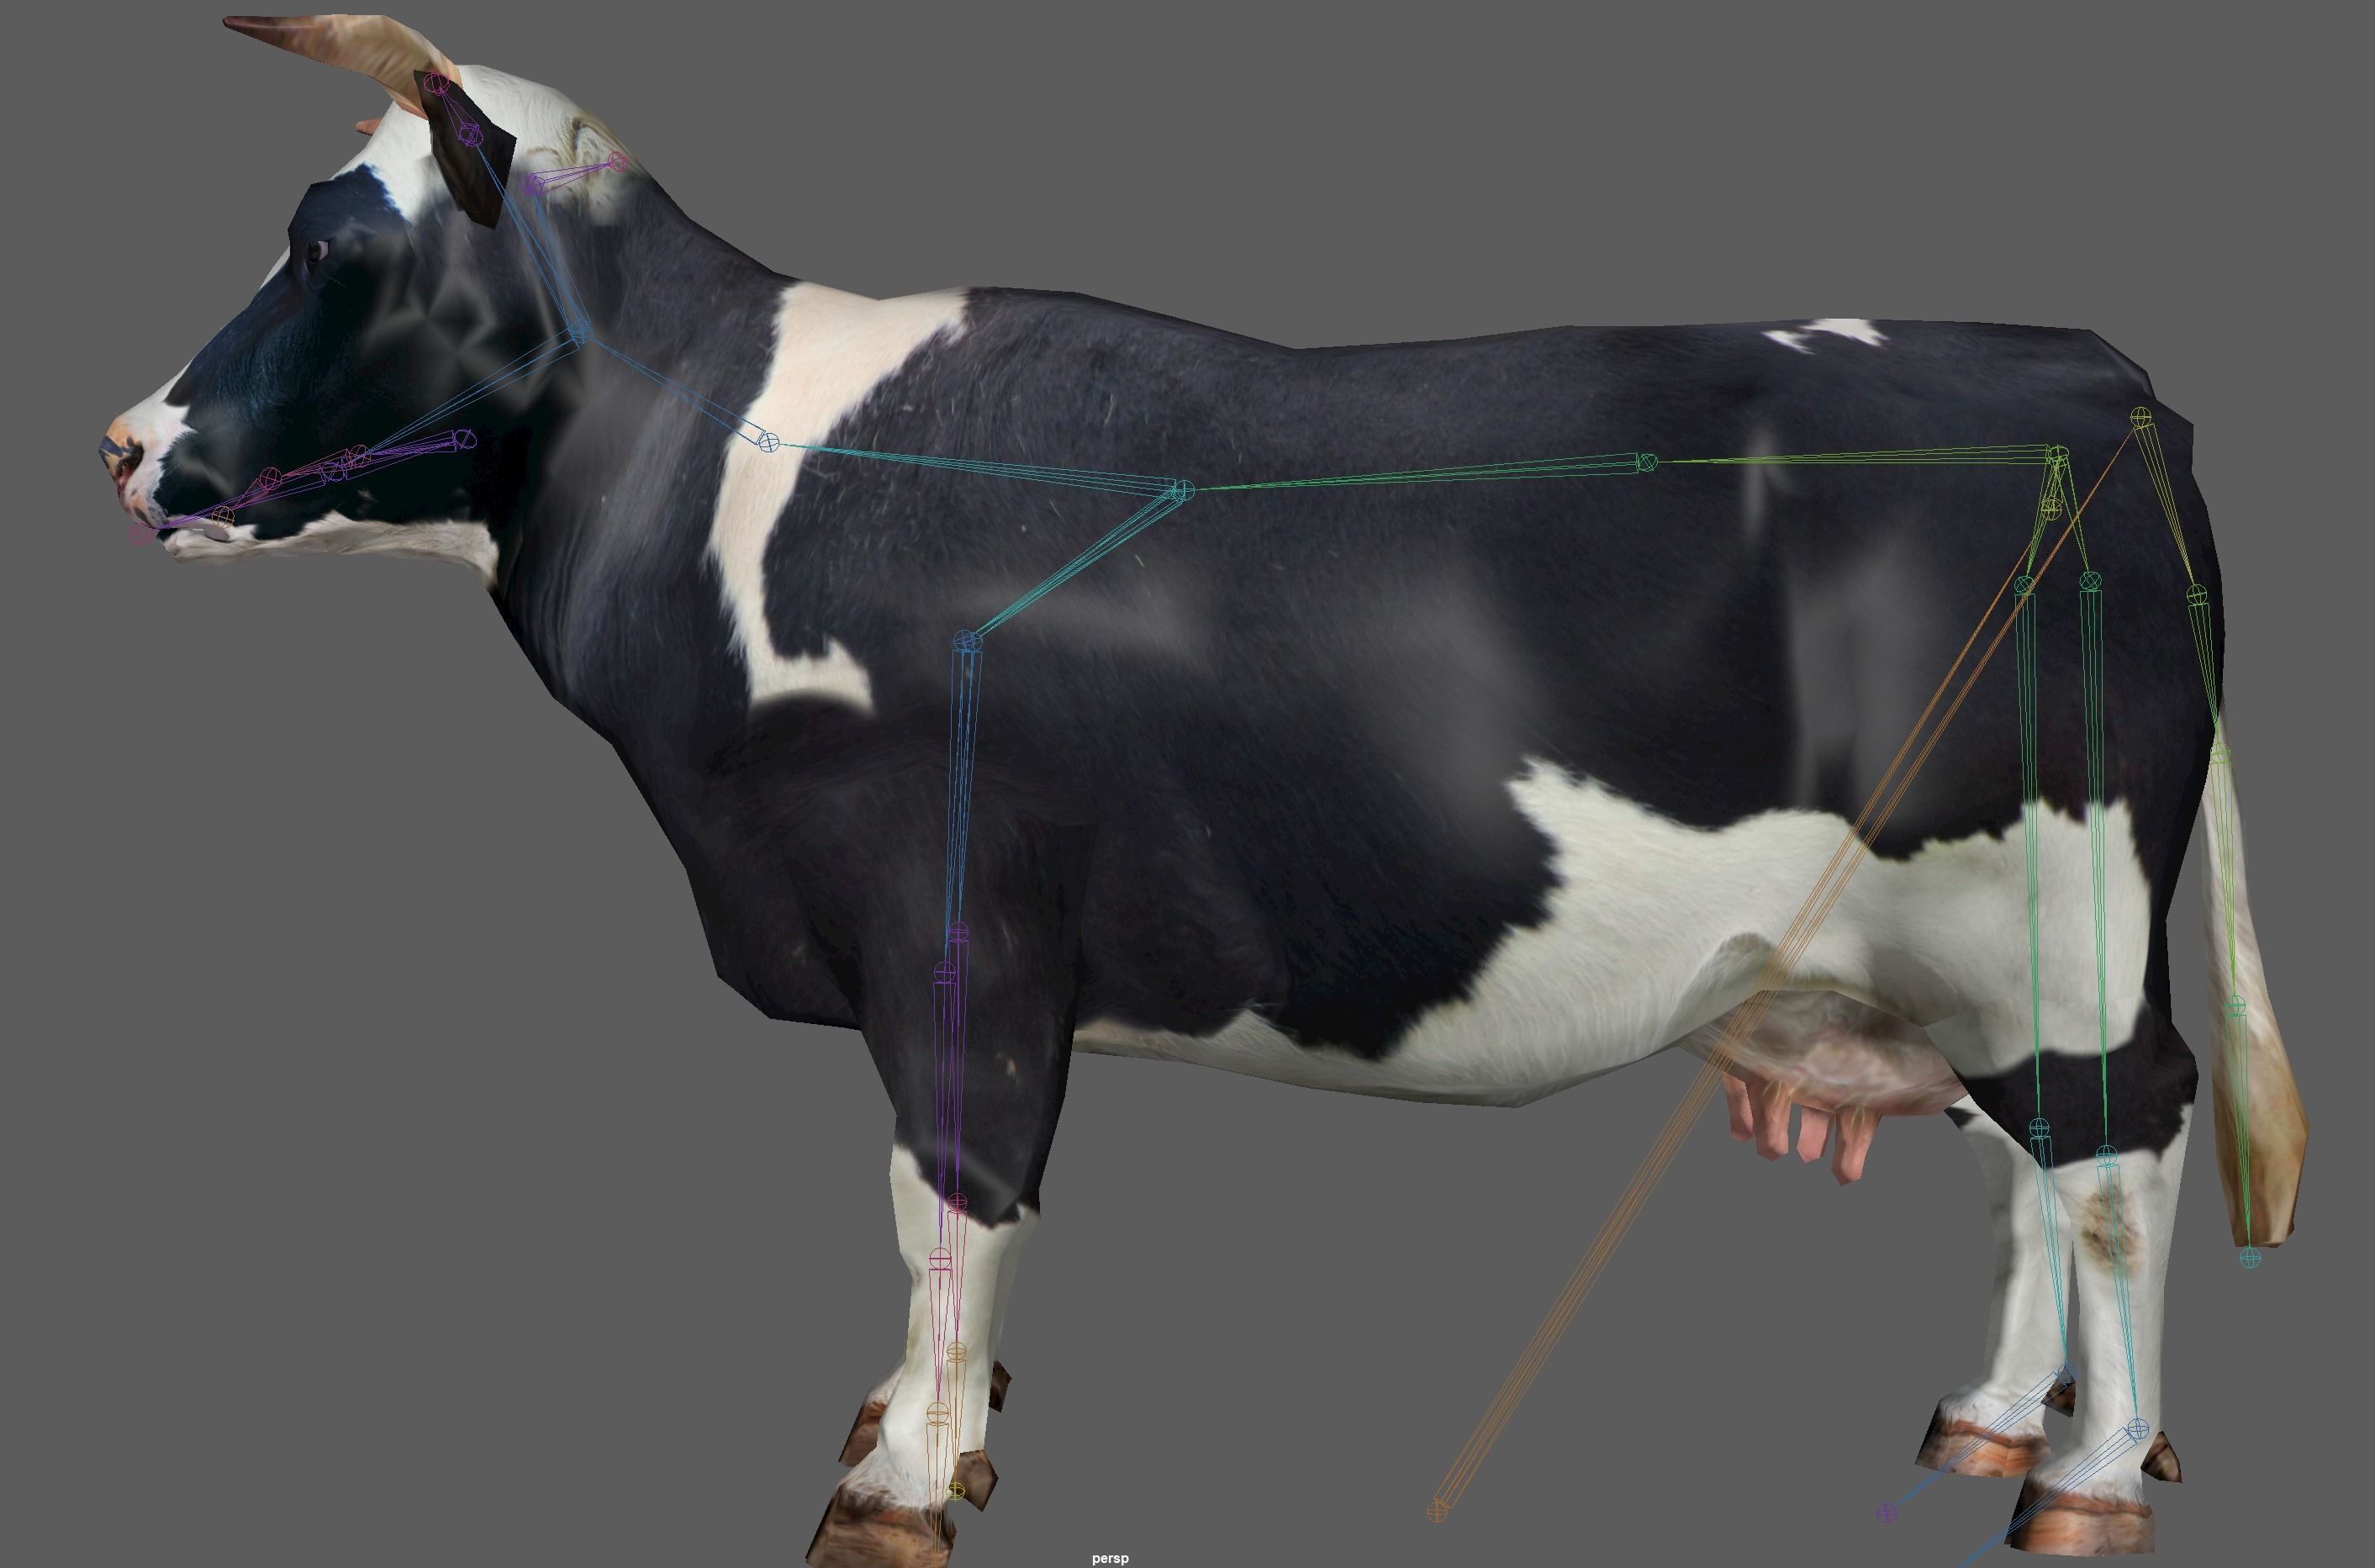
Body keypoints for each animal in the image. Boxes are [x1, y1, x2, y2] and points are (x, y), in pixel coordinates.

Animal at [104, 15, 2308, 1563]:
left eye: (332, 250)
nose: (122, 442)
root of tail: (2090, 371)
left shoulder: (950, 926)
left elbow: (945, 1190)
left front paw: (903, 1473)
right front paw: (929, 1424)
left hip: (2049, 916)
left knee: (2112, 1153)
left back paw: (2086, 1474)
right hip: (1964, 948)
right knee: (2020, 1167)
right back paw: (1993, 1412)